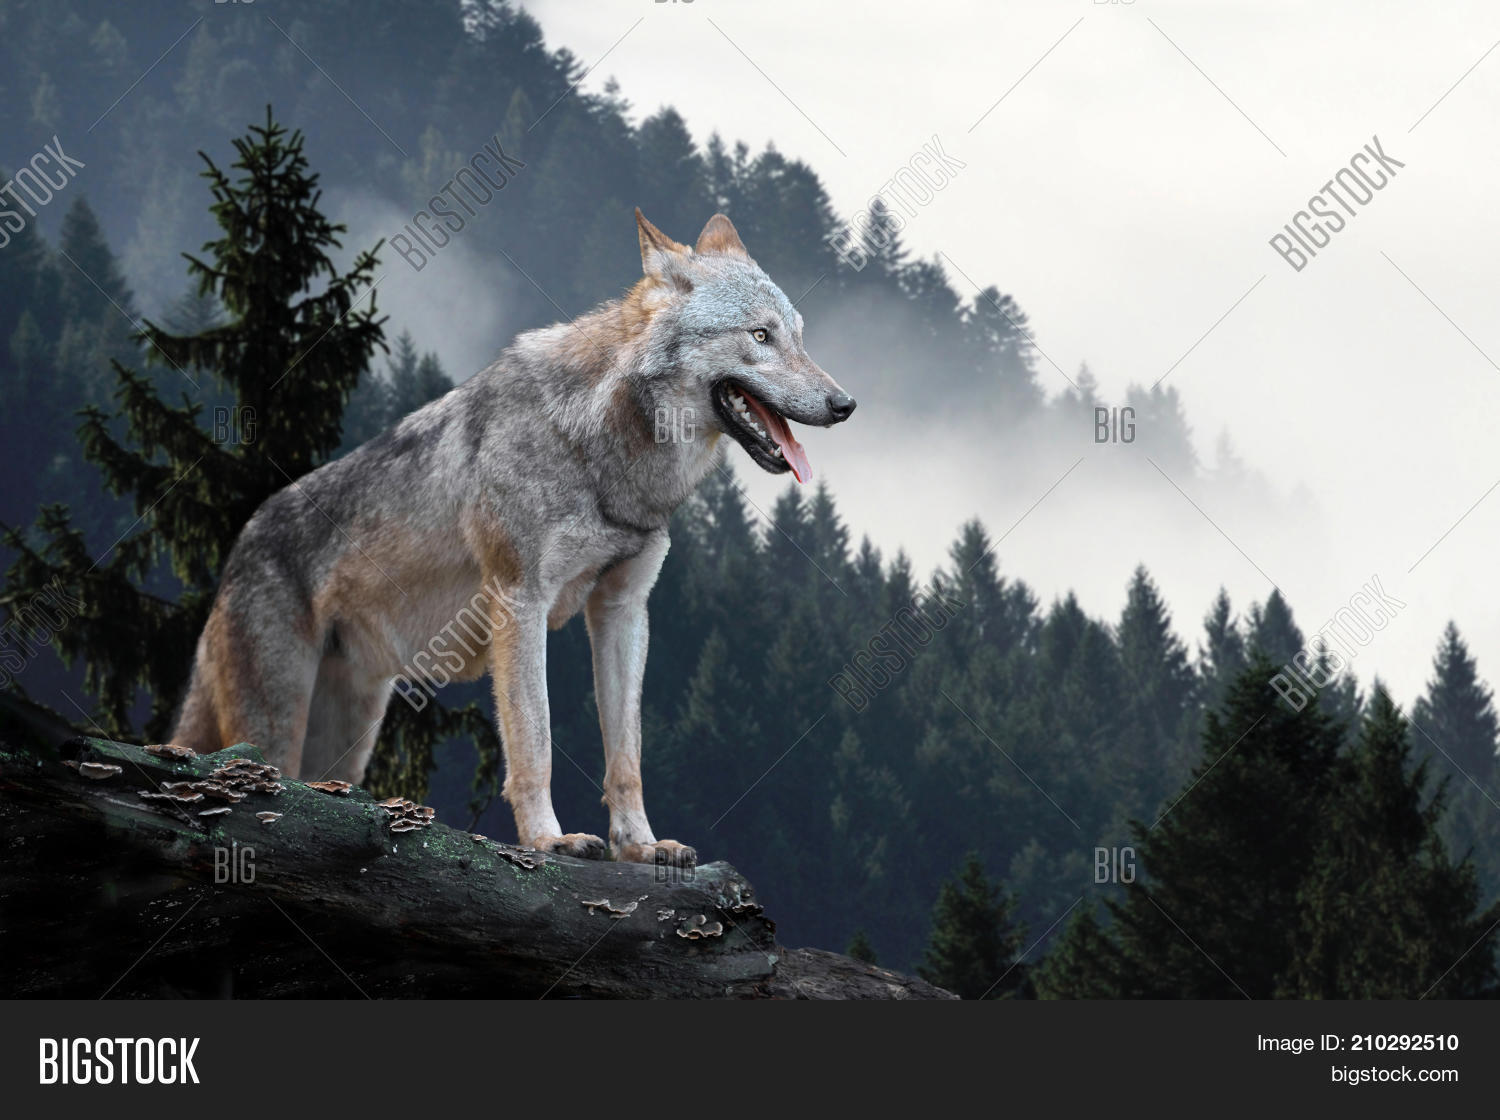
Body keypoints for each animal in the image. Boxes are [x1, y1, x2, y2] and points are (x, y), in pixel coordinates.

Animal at [172, 210, 856, 865]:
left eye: (798, 336)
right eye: (760, 336)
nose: (845, 404)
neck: (602, 449)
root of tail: (238, 548)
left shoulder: (624, 610)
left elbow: (626, 755)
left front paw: (639, 846)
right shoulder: (520, 601)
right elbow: (535, 742)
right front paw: (549, 841)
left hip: (348, 736)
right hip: (276, 729)